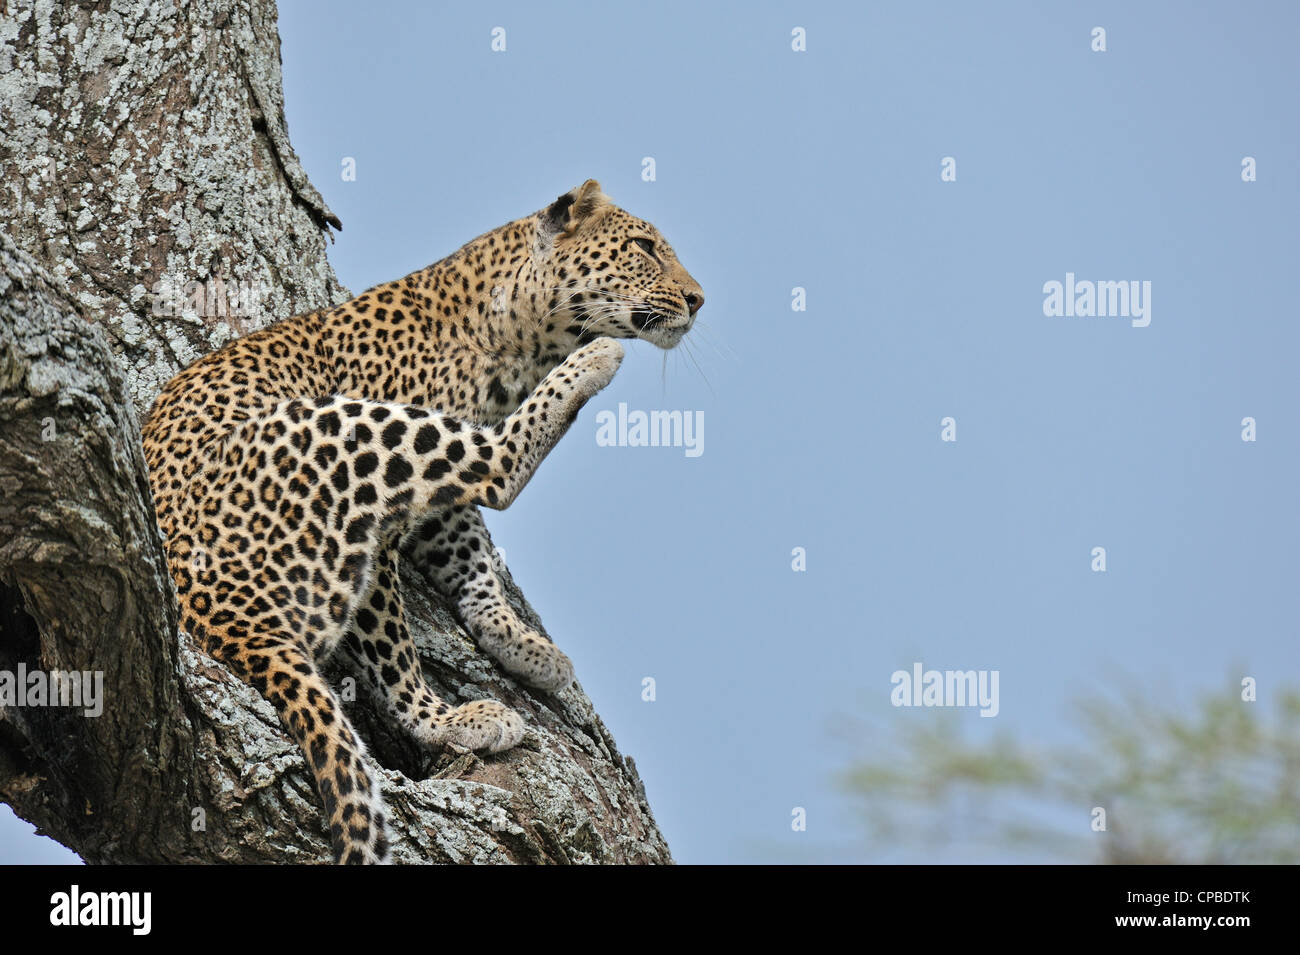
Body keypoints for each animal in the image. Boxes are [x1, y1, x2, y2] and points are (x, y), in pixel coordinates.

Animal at [140, 179, 704, 863]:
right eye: (645, 247)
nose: (699, 300)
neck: (519, 340)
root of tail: (216, 613)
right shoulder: (392, 512)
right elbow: (398, 639)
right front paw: (449, 712)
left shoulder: (441, 509)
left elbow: (473, 556)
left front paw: (521, 645)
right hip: (345, 429)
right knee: (496, 468)